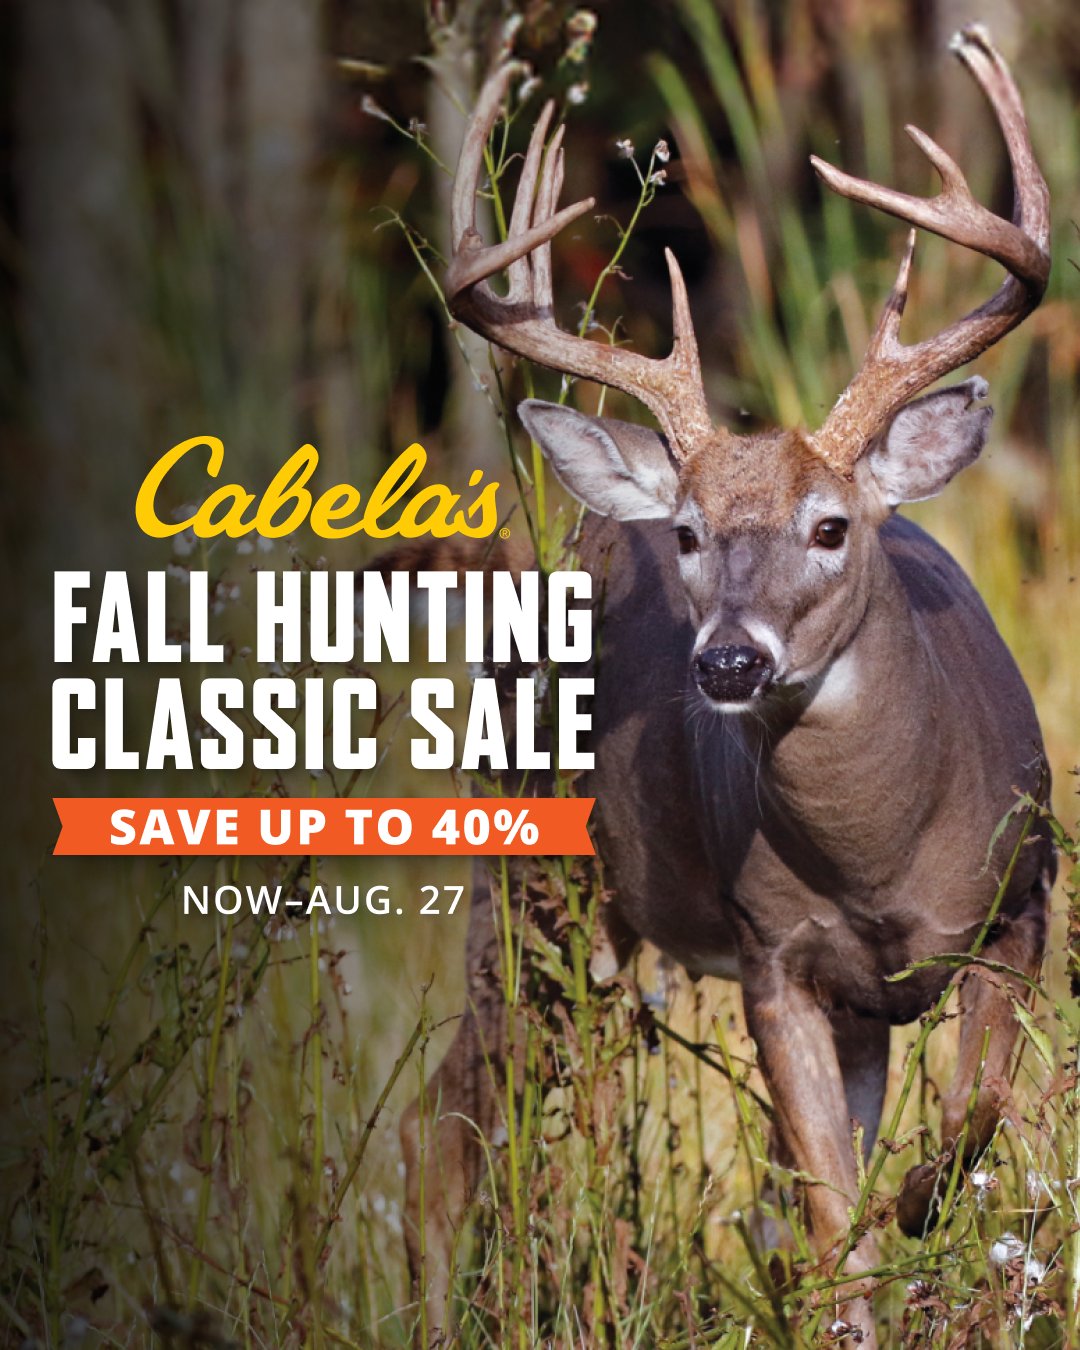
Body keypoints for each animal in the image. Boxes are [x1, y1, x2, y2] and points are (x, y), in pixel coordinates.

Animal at [398, 26, 1054, 1346]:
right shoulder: (772, 958)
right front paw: (878, 1239)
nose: (731, 661)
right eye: (695, 535)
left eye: (831, 526)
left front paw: (919, 1204)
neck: (882, 854)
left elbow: (961, 1128)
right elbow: (832, 1226)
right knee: (438, 1129)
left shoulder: (1020, 905)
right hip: (529, 885)